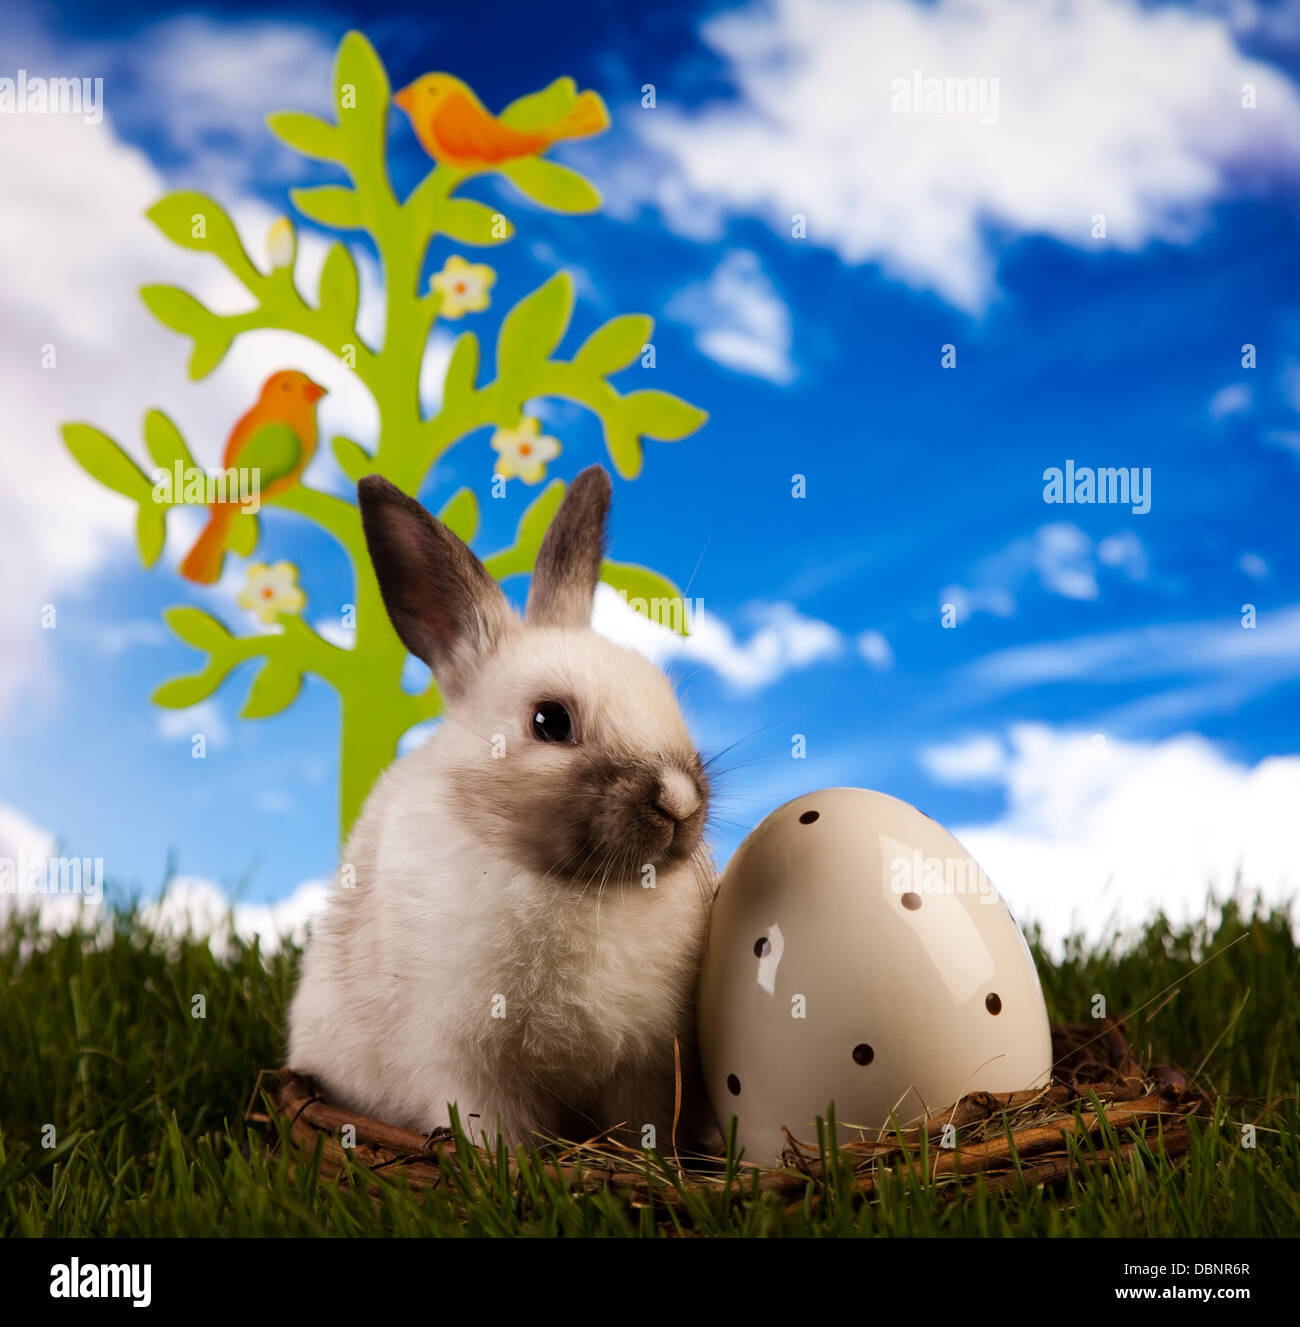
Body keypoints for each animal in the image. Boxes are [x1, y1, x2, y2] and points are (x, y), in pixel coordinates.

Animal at [288, 465, 720, 1151]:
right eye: (550, 721)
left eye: (666, 698)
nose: (678, 802)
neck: (583, 888)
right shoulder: (463, 1066)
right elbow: (493, 1133)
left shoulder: (648, 1067)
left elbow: (641, 1129)